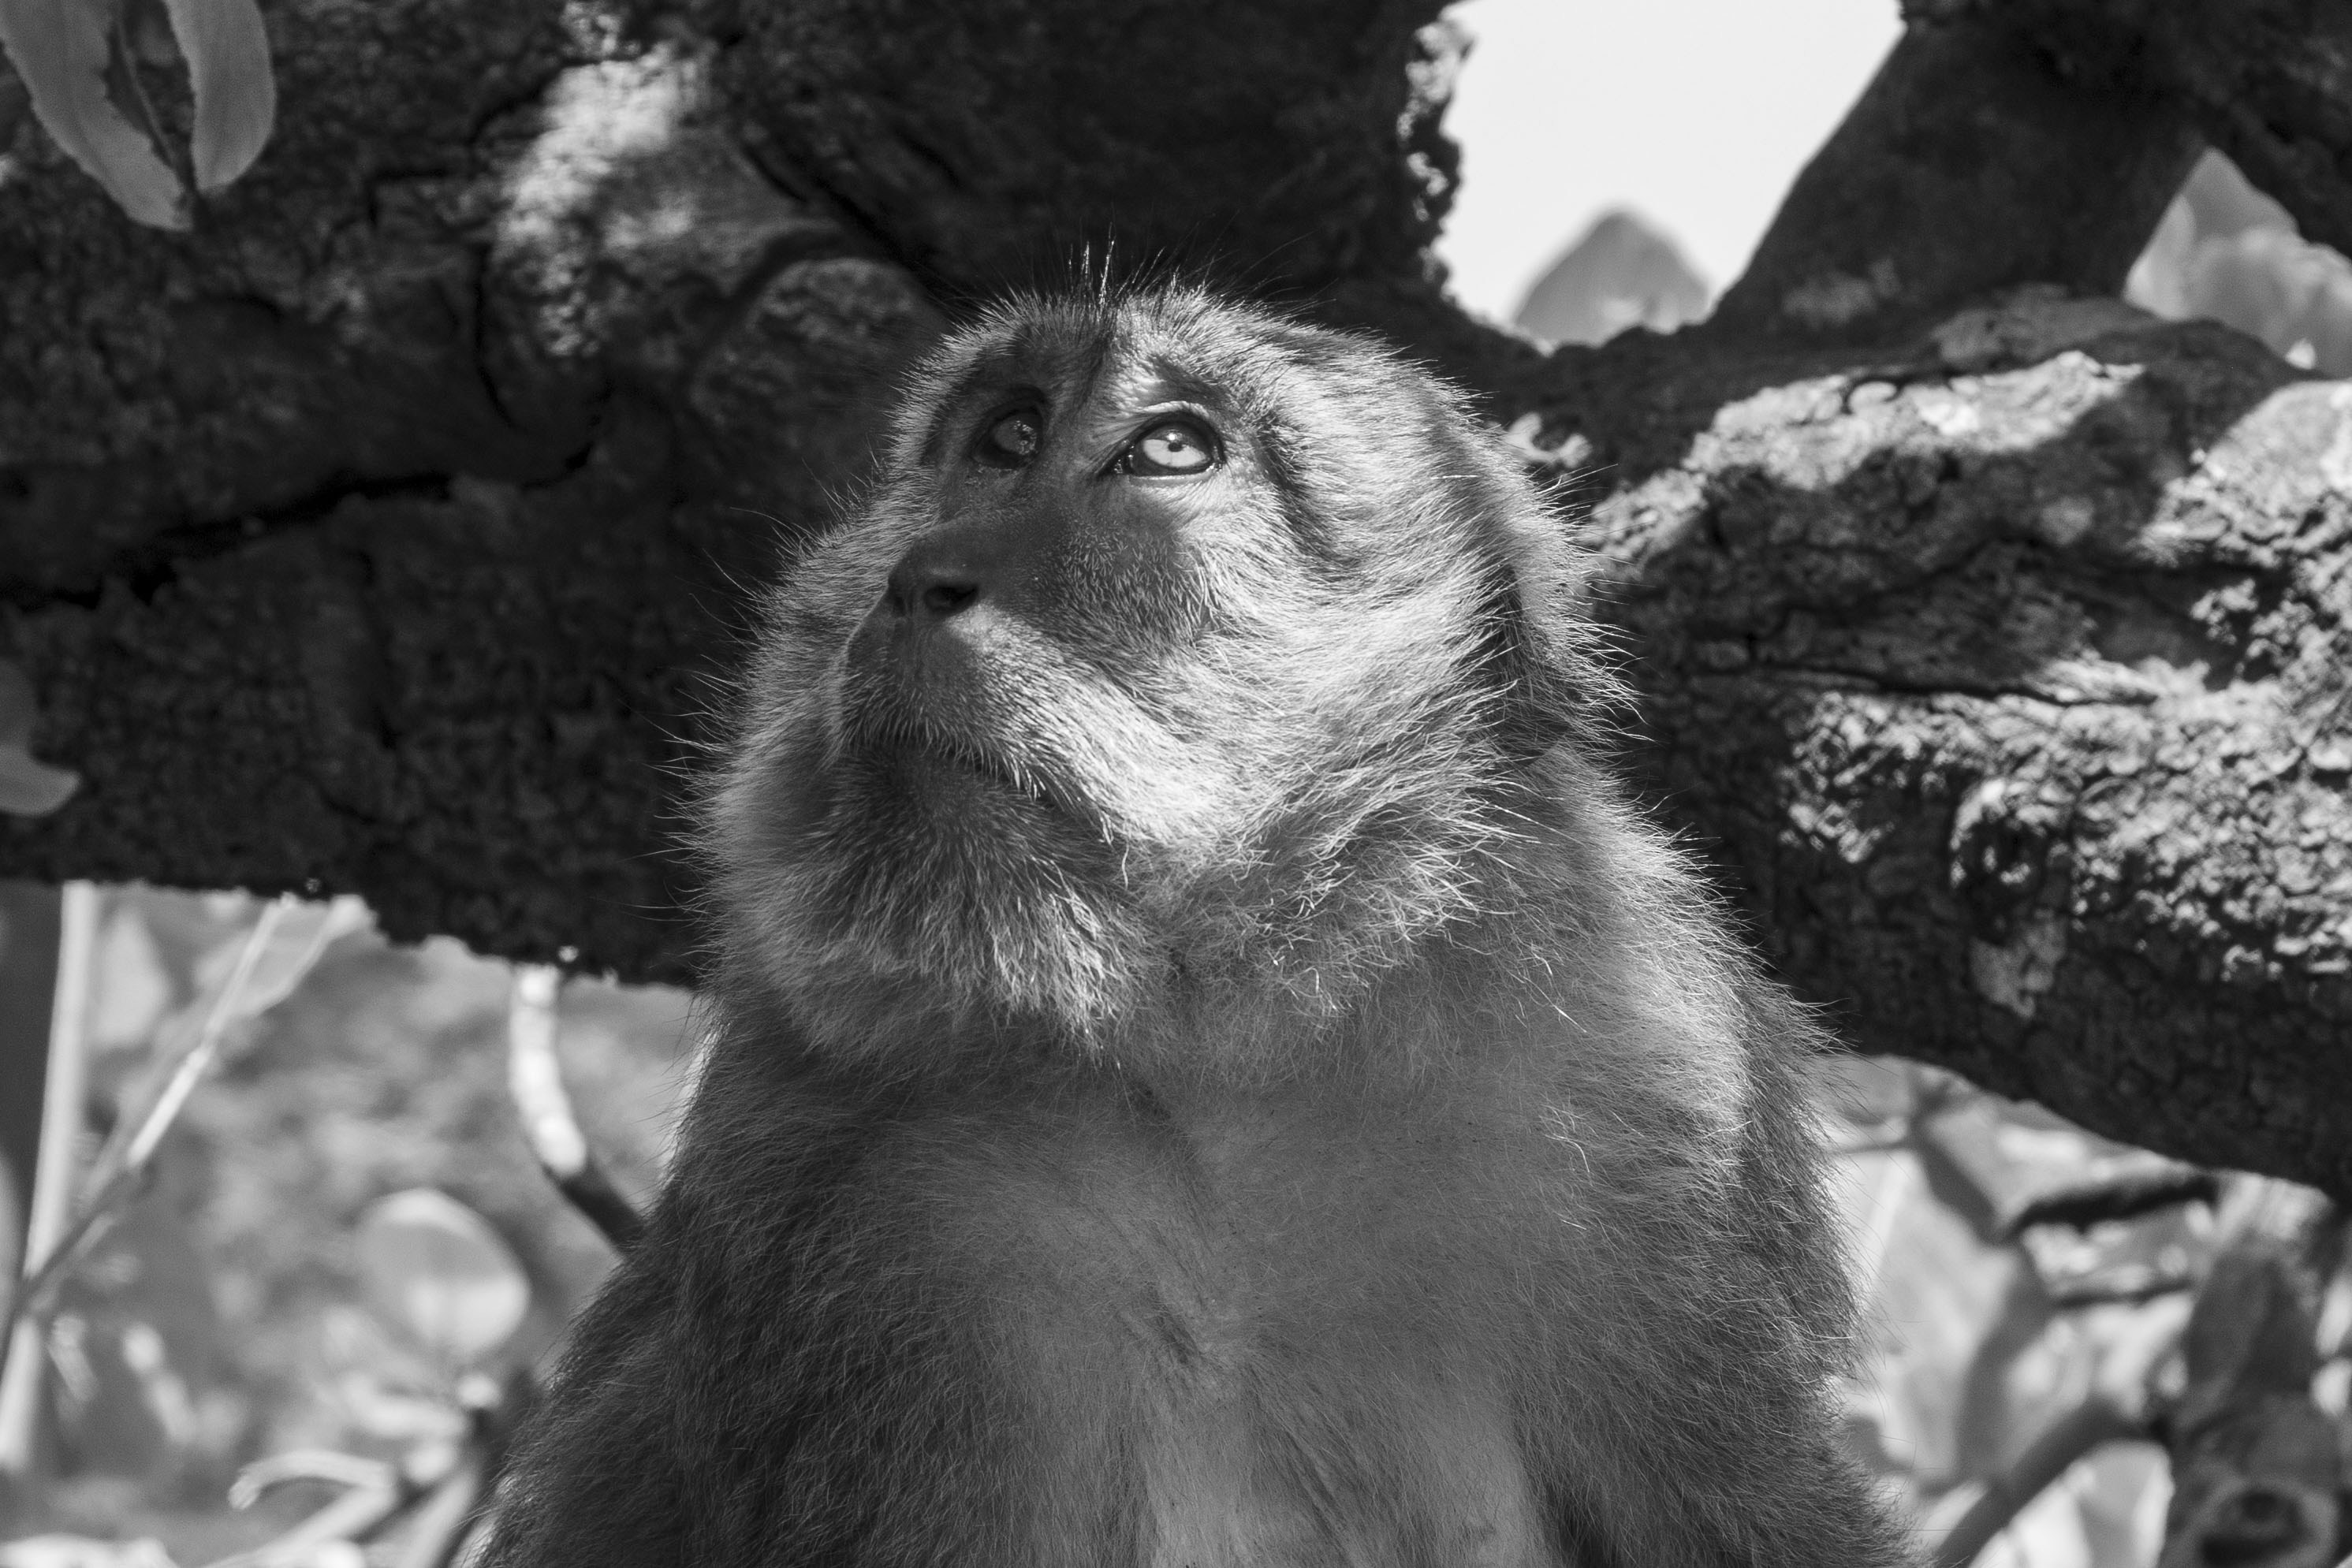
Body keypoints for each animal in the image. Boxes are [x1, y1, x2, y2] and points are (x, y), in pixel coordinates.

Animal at [479, 286, 1912, 1567]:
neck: (1206, 1050)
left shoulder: (1648, 1091)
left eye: (1169, 449)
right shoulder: (845, 1195)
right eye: (1007, 434)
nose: (915, 576)